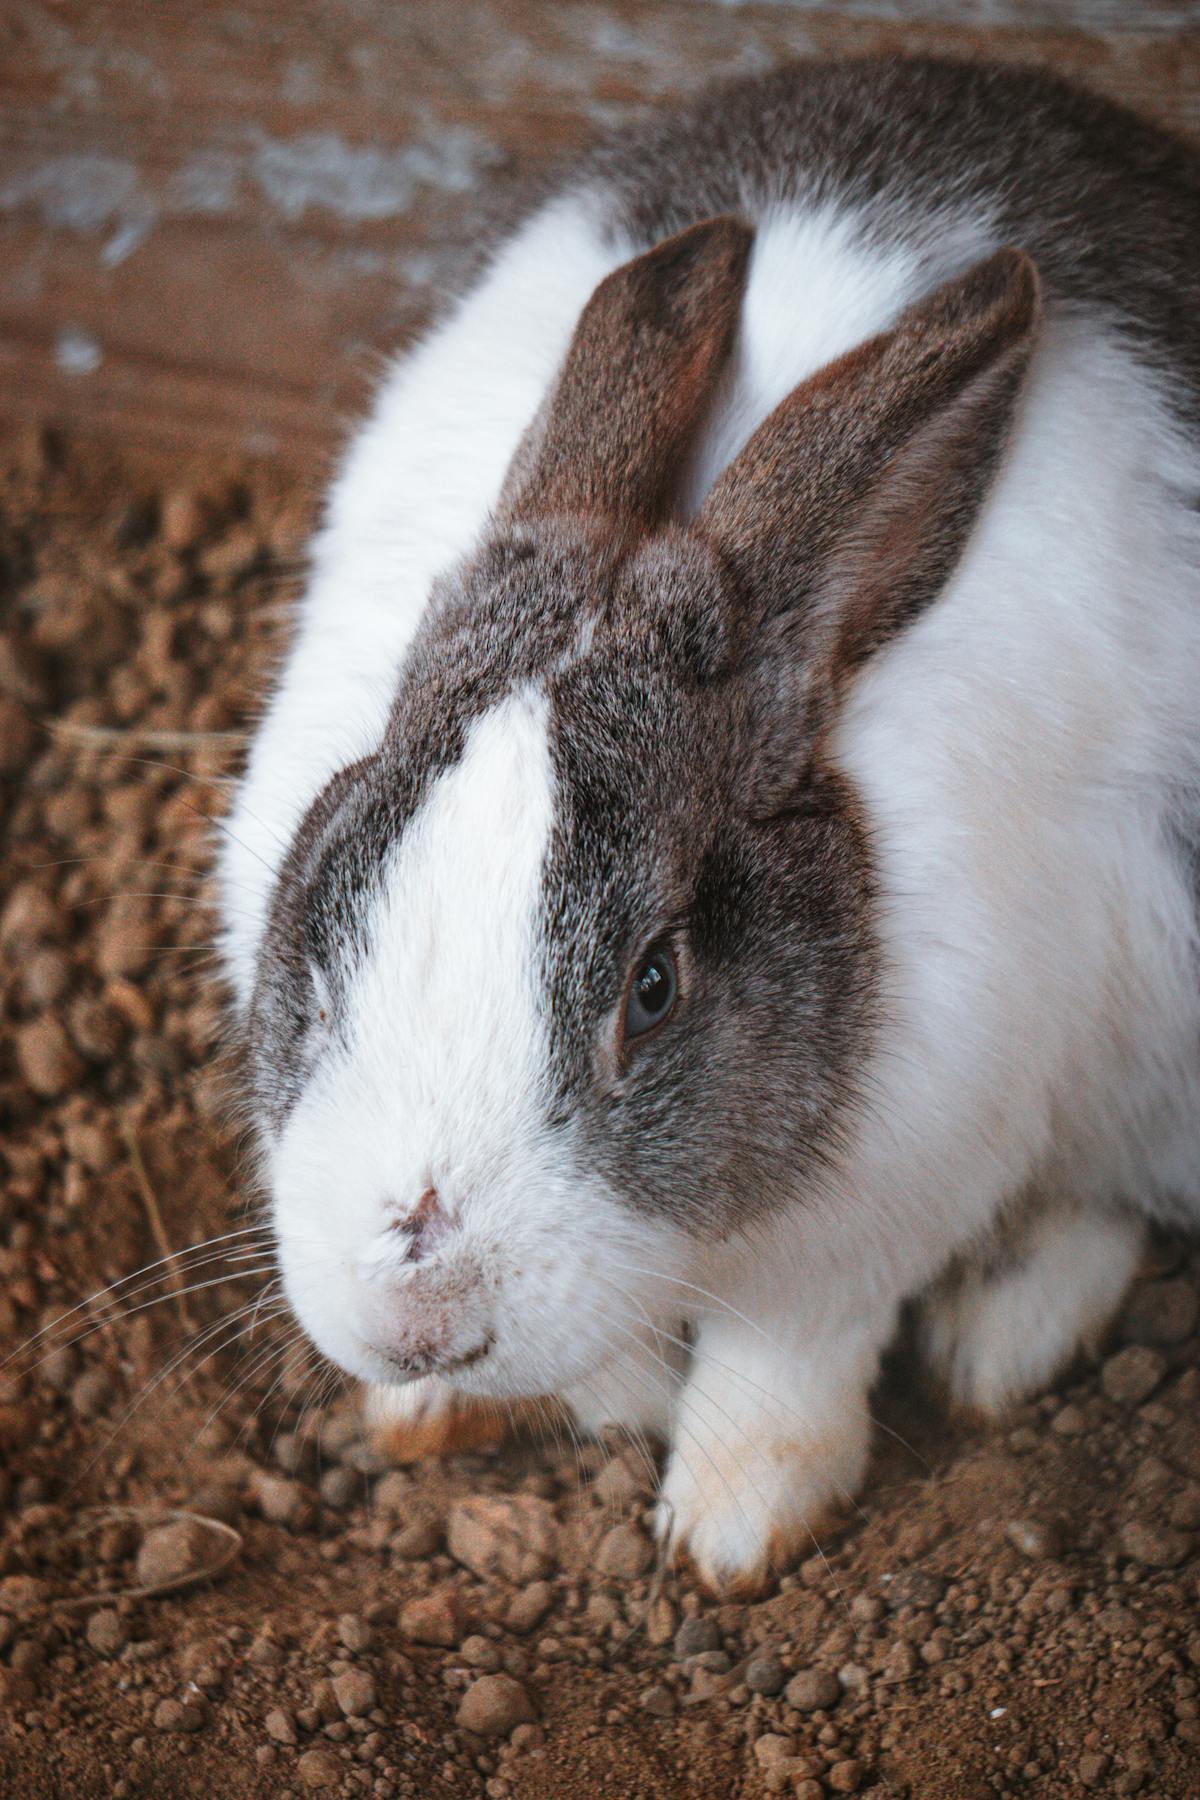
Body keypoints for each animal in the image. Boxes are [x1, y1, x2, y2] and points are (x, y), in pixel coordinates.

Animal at [218, 57, 1200, 1592]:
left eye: (655, 988)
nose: (416, 1324)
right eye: (321, 950)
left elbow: (784, 1363)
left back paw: (998, 1339)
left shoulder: (883, 1203)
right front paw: (499, 1406)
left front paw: (730, 1531)